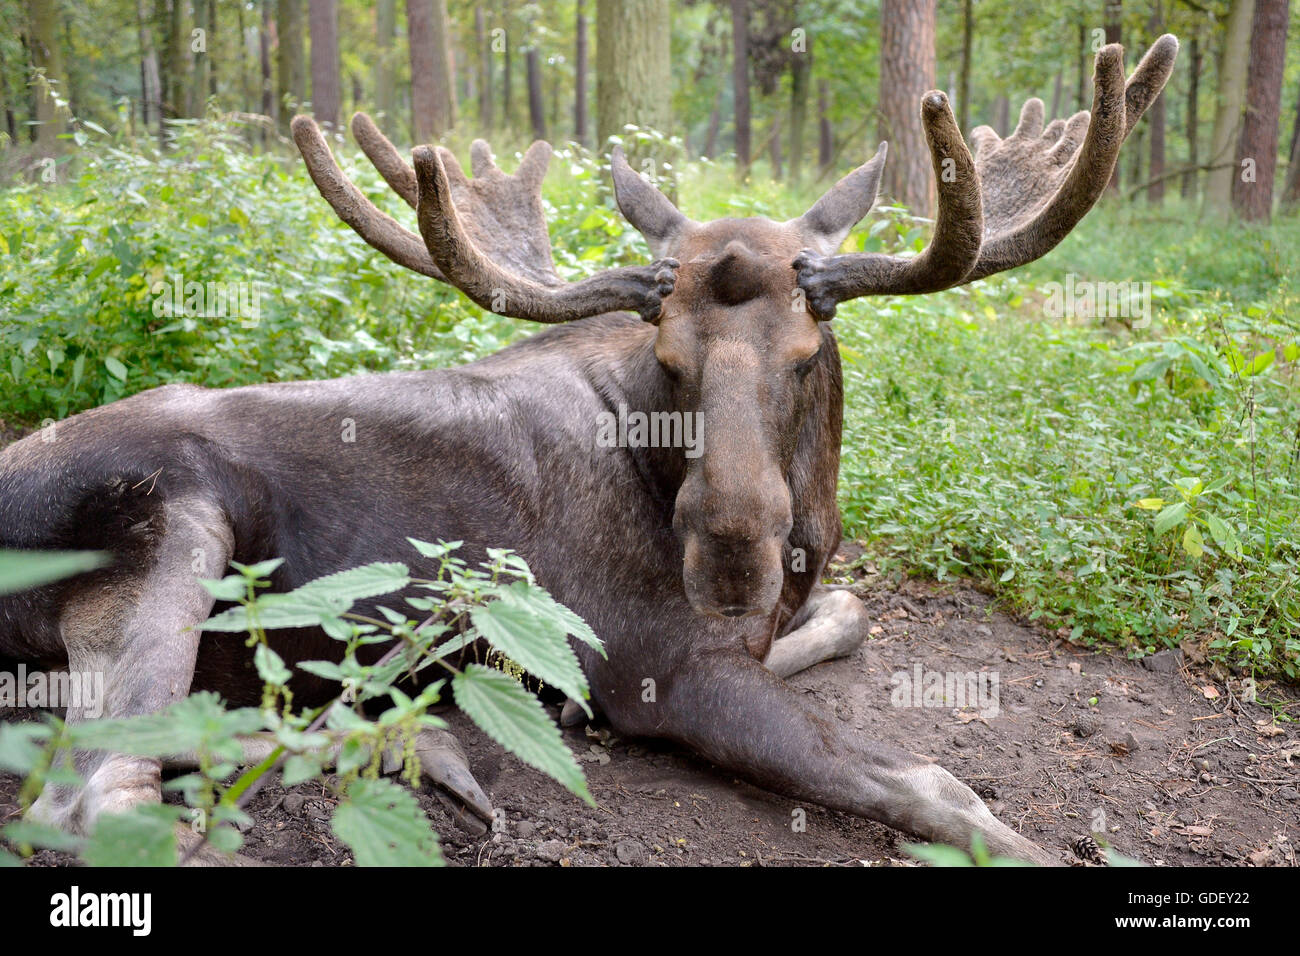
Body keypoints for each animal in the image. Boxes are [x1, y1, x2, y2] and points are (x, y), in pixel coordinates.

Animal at [0, 36, 1177, 865]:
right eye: (668, 354)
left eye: (809, 350)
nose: (731, 551)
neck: (814, 521)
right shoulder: (662, 668)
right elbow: (940, 789)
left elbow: (844, 617)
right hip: (174, 518)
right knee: (93, 791)